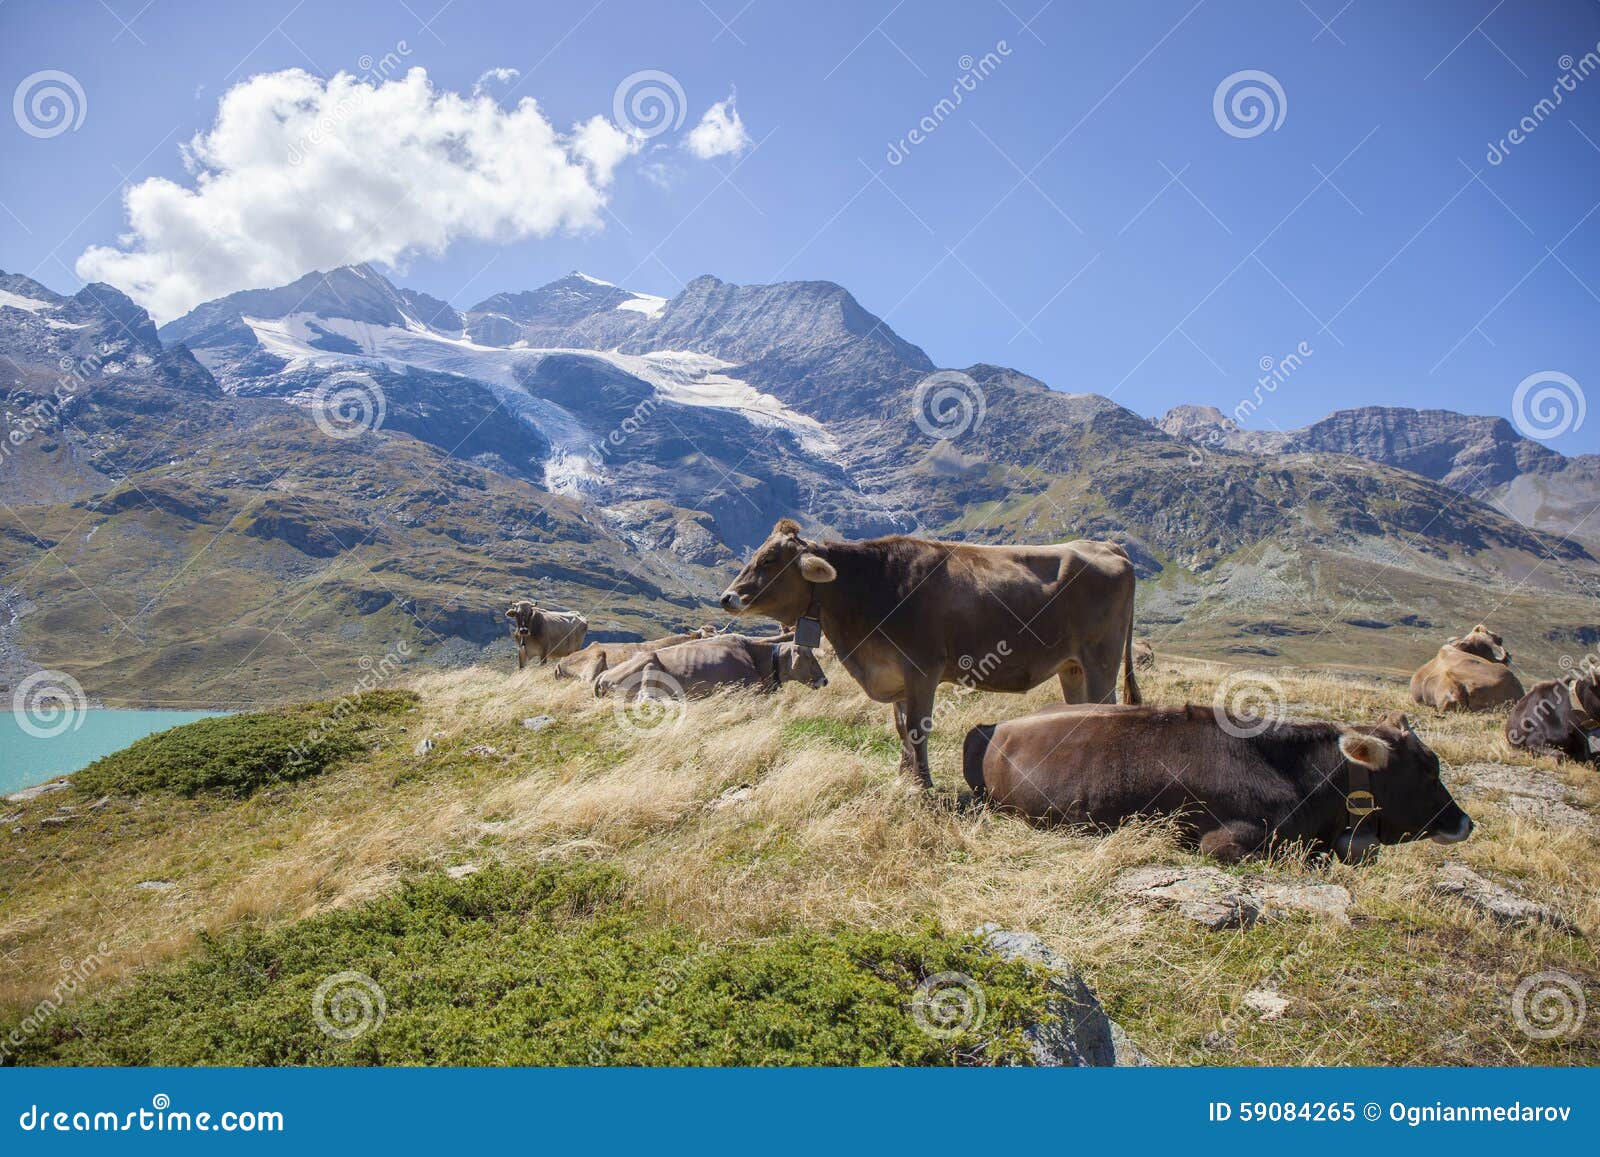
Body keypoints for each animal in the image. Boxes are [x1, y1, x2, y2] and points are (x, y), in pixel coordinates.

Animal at [719, 518, 1140, 788]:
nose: (726, 598)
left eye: (770, 559)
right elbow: (900, 726)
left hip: (1101, 660)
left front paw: (921, 785)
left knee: (1106, 707)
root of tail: (1103, 545)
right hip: (1072, 667)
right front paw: (904, 778)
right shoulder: (894, 676)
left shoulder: (922, 670)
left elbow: (917, 728)